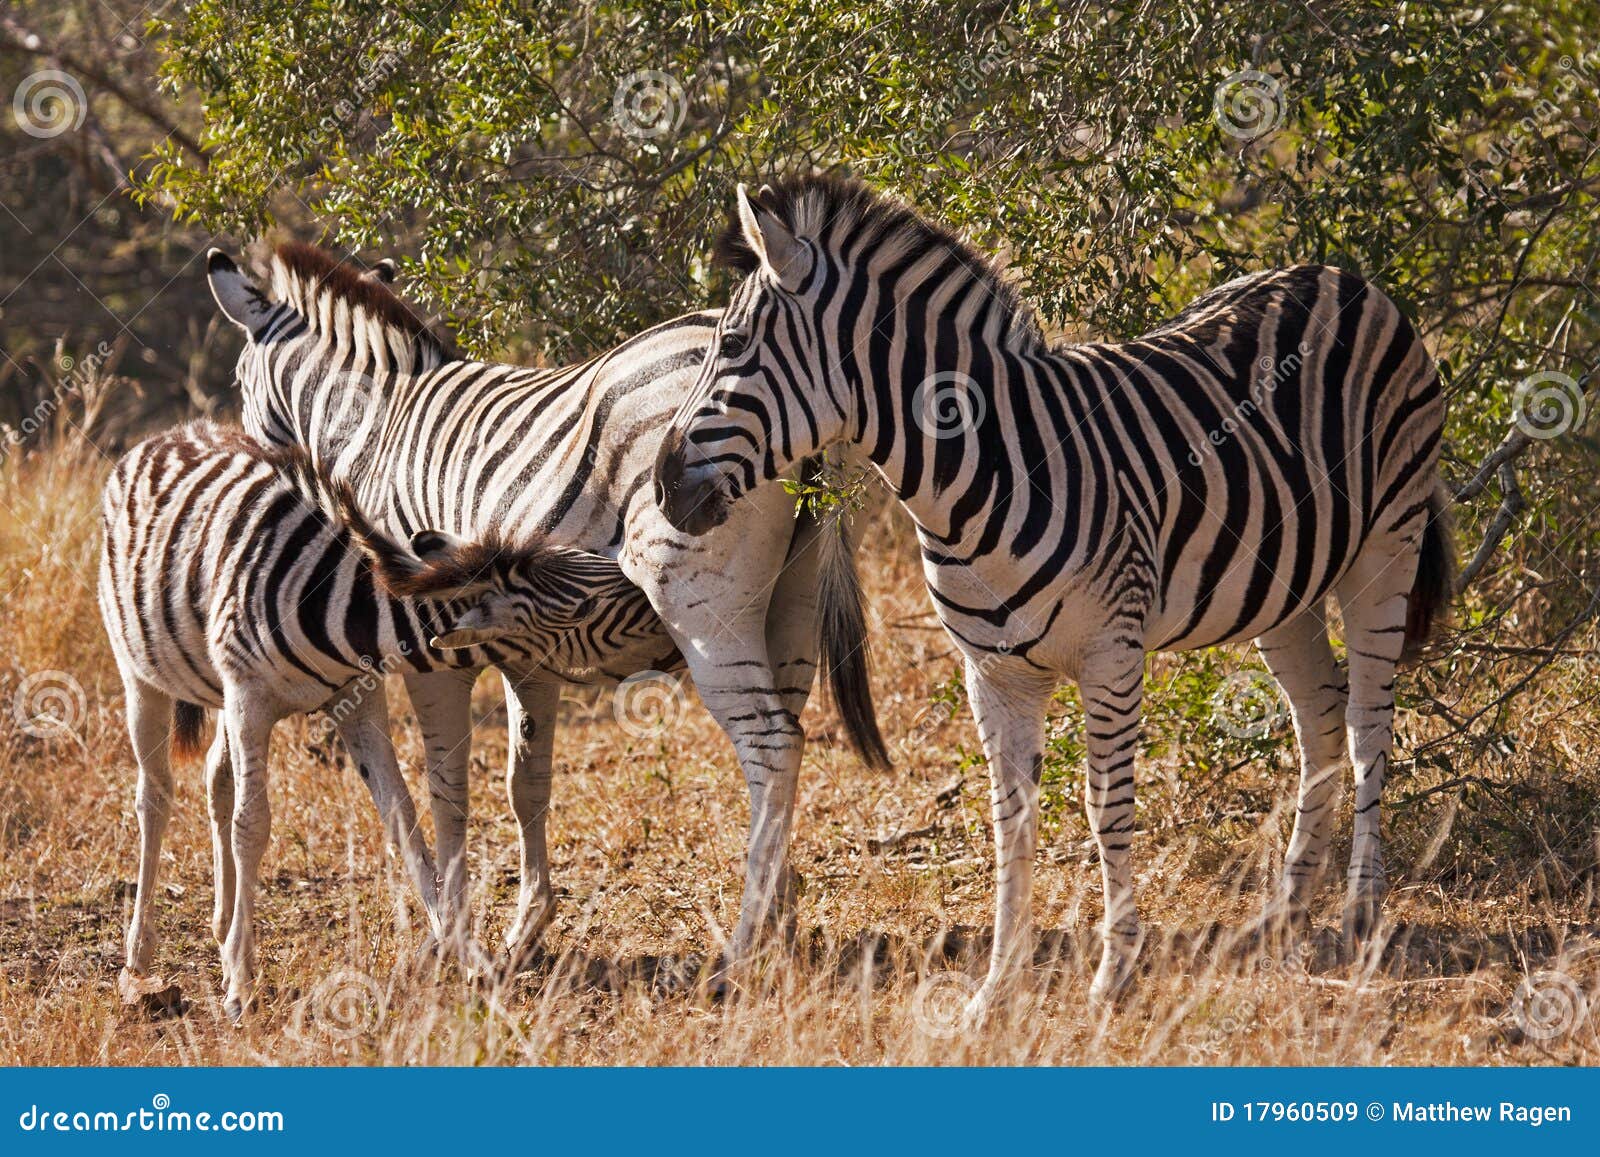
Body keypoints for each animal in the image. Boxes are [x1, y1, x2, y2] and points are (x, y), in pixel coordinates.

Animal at [100, 420, 662, 1017]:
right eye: (585, 609)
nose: (660, 601)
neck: (339, 611)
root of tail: (169, 434)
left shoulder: (355, 698)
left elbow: (402, 815)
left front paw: (467, 955)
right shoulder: (249, 698)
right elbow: (251, 827)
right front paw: (240, 983)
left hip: (220, 693)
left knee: (216, 778)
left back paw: (222, 922)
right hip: (140, 674)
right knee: (154, 796)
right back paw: (139, 955)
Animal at [204, 241, 887, 975]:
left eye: (237, 381)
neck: (376, 431)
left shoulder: (430, 651)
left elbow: (447, 788)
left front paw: (455, 936)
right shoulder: (527, 654)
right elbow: (523, 781)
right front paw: (526, 927)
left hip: (705, 607)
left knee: (769, 742)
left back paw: (744, 941)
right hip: (793, 600)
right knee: (786, 745)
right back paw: (781, 925)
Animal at [656, 176, 1454, 1018]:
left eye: (733, 347)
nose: (662, 486)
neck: (982, 473)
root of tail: (1342, 277)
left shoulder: (1112, 654)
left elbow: (1107, 808)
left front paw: (1114, 975)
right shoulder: (993, 672)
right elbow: (1011, 819)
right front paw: (997, 987)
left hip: (1387, 544)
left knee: (1368, 721)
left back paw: (1361, 915)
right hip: (1282, 585)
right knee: (1320, 718)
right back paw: (1285, 911)